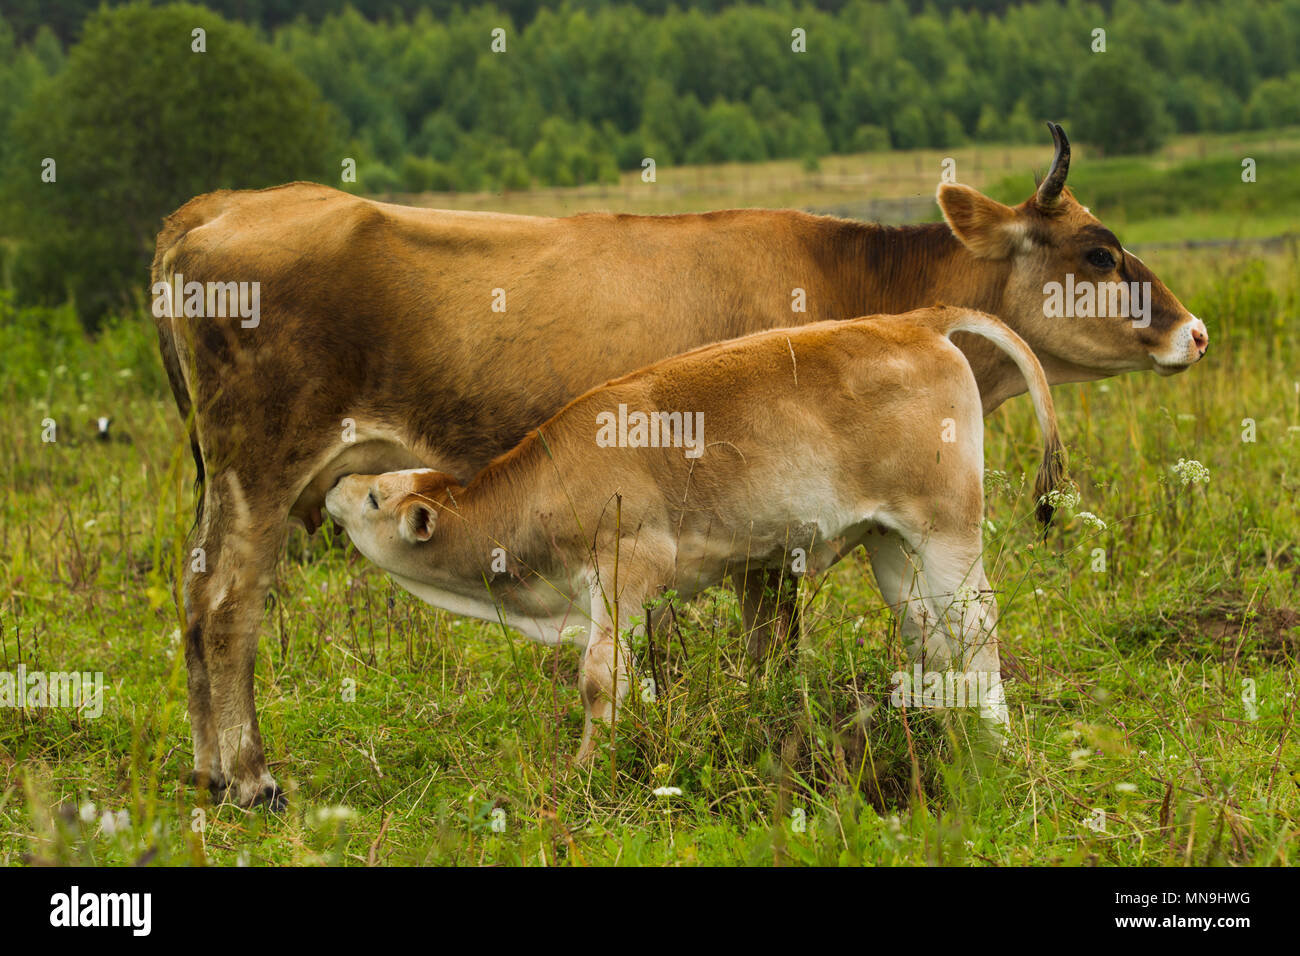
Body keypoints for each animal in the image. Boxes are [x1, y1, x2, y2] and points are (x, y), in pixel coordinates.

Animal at [323, 306, 1065, 761]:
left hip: (946, 527)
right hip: (890, 538)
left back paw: (994, 745)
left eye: (374, 496)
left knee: (977, 625)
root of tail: (914, 318)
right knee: (926, 627)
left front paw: (587, 767)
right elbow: (632, 678)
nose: (334, 487)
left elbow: (599, 678)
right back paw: (940, 723)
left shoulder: (626, 565)